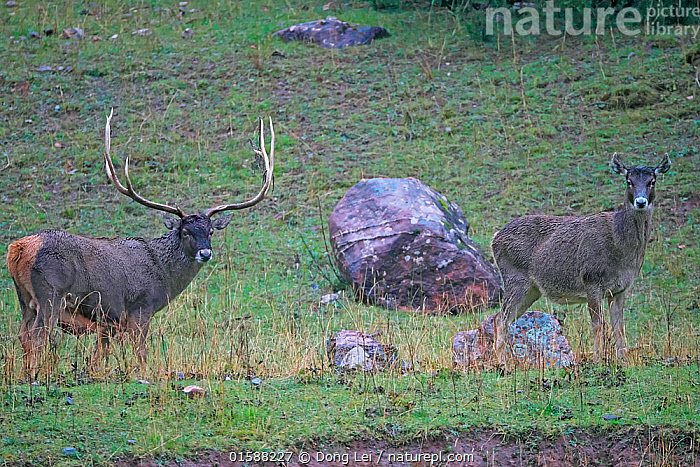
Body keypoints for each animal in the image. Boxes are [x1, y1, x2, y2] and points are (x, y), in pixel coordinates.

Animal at [7, 110, 274, 379]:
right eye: (185, 231)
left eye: (210, 231)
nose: (205, 253)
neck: (163, 275)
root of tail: (18, 249)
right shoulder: (140, 307)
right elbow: (141, 353)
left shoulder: (109, 323)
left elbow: (96, 359)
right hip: (50, 294)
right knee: (38, 335)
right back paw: (36, 375)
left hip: (25, 299)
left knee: (23, 334)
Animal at [491, 154, 671, 370]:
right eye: (629, 181)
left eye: (652, 181)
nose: (641, 201)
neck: (622, 252)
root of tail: (495, 238)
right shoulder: (591, 280)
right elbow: (598, 324)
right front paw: (598, 361)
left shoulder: (621, 288)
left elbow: (618, 326)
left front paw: (623, 361)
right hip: (515, 279)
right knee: (501, 319)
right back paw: (504, 365)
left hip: (531, 289)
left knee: (503, 319)